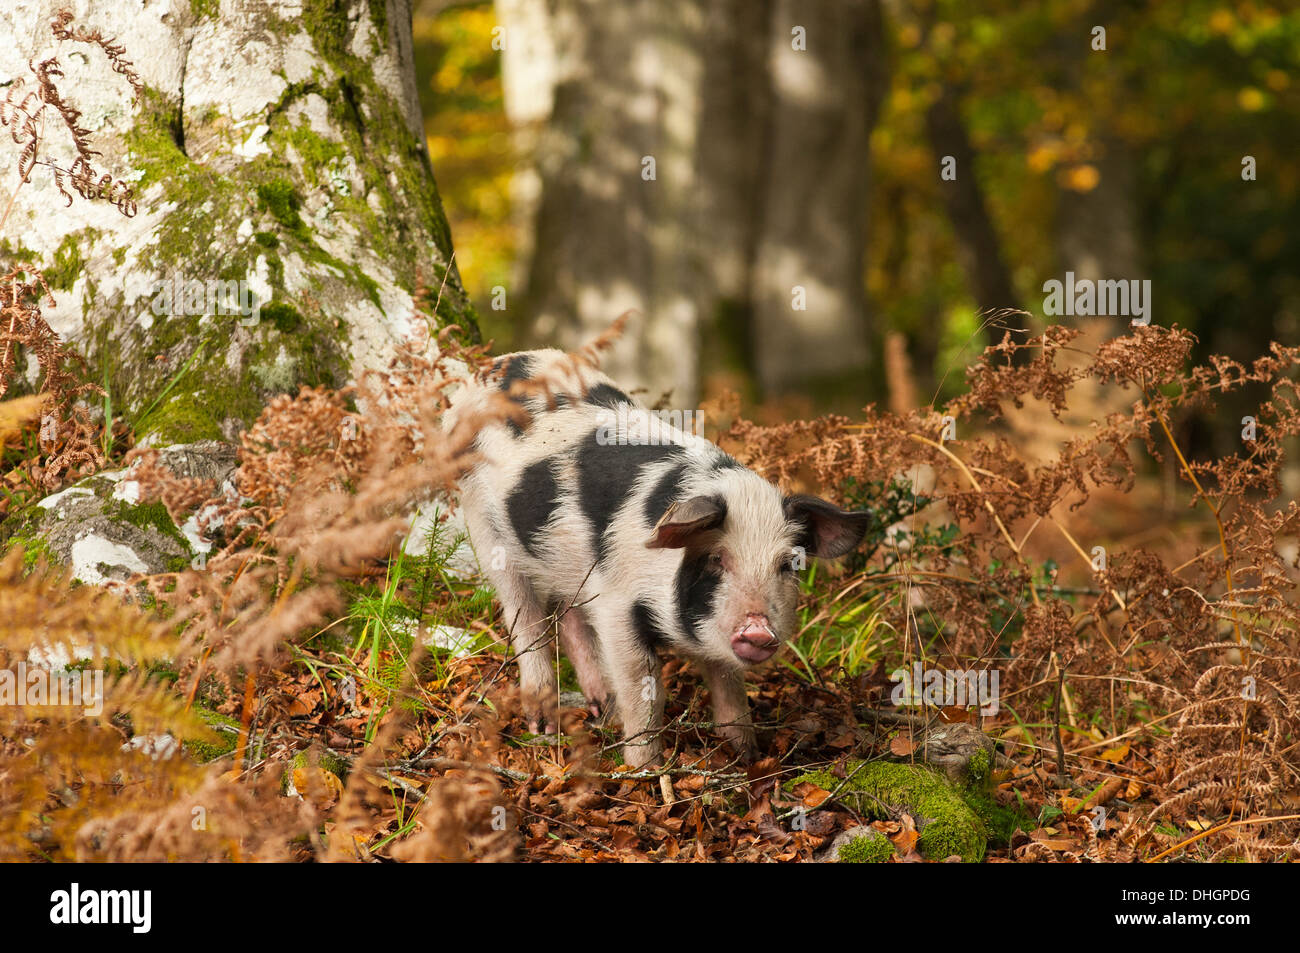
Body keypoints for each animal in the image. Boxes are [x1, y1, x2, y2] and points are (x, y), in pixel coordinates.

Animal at [447, 349, 871, 767]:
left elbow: (728, 684)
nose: (757, 630)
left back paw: (602, 709)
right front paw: (644, 770)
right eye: (717, 559)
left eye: (786, 565)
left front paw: (744, 756)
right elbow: (645, 687)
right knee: (524, 617)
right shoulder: (616, 604)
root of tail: (493, 365)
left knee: (569, 618)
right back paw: (545, 725)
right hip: (483, 522)